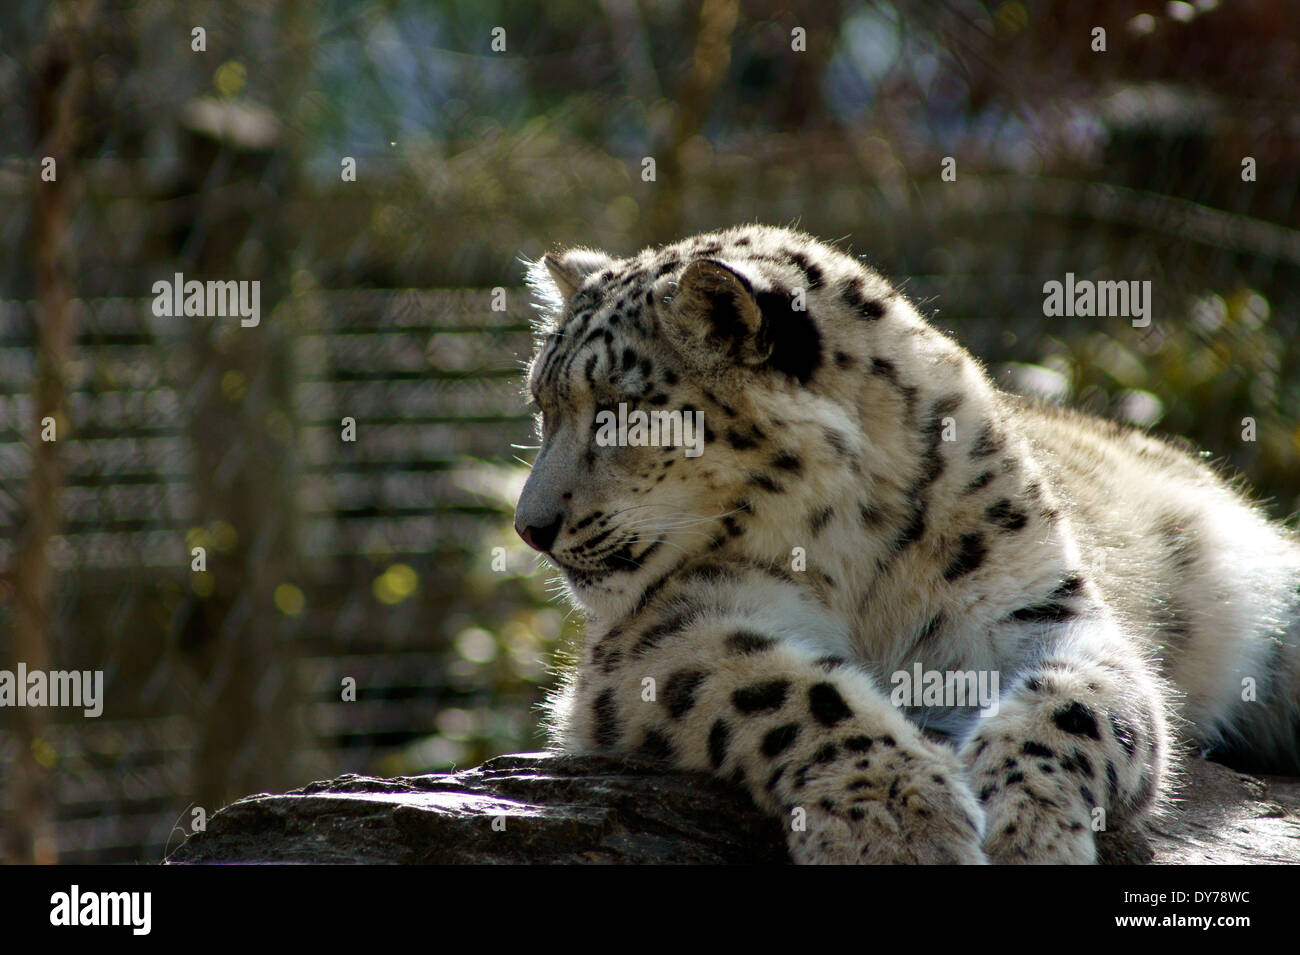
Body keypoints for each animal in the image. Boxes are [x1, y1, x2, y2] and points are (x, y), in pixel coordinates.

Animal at [514, 224, 1300, 864]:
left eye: (620, 410)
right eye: (543, 407)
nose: (529, 527)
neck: (852, 548)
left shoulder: (1041, 603)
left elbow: (1073, 702)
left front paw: (1027, 825)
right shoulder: (664, 629)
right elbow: (787, 687)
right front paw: (898, 823)